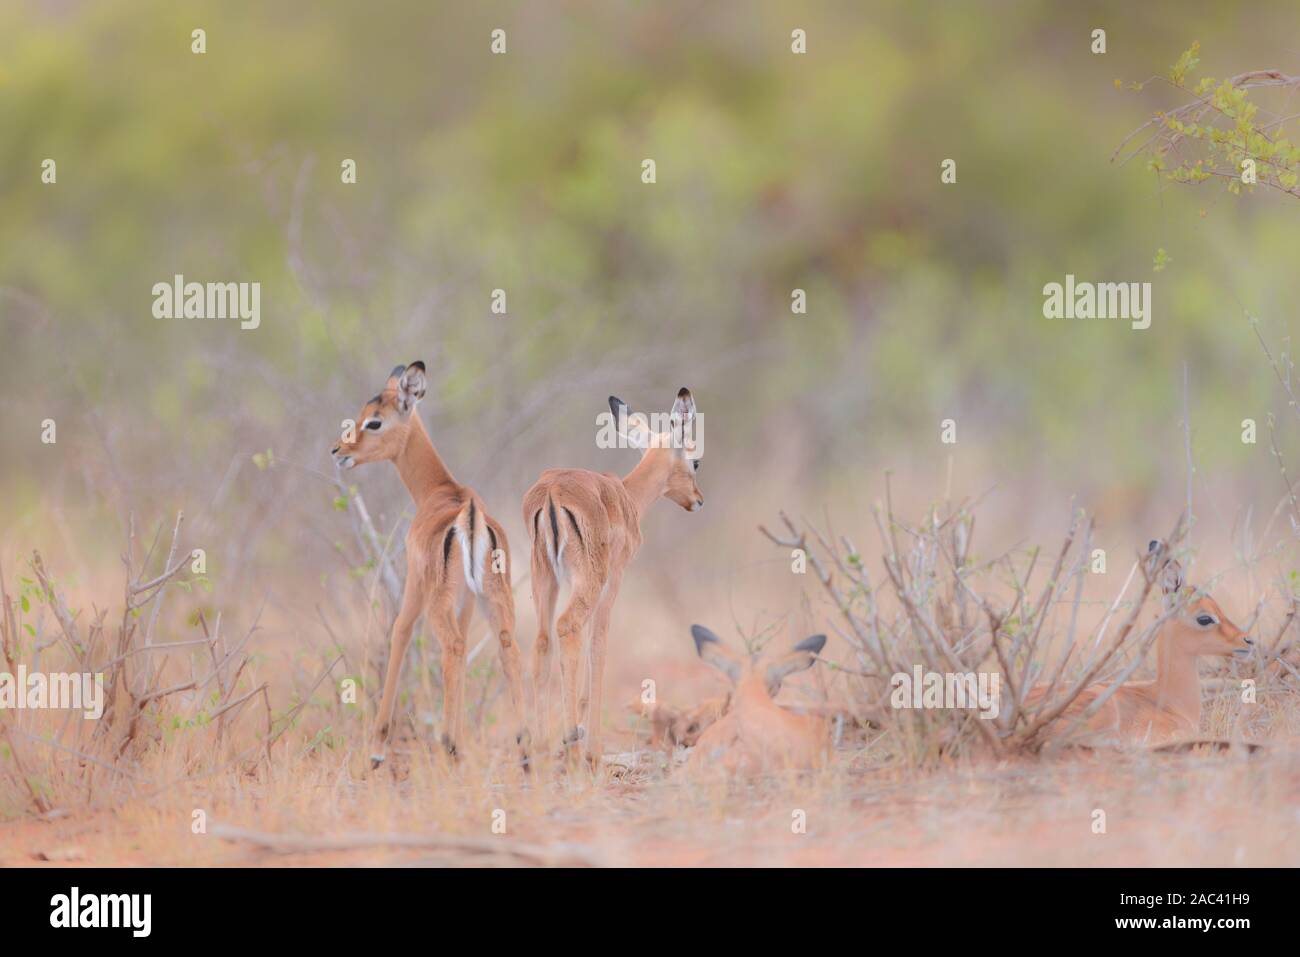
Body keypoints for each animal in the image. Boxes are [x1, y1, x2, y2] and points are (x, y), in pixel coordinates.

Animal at [331, 362, 528, 767]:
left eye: (374, 420)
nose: (339, 451)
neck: (437, 492)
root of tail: (470, 518)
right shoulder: (467, 600)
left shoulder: (415, 582)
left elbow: (400, 632)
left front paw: (377, 749)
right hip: (494, 598)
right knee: (506, 650)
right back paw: (523, 750)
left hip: (440, 600)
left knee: (450, 647)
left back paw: (447, 744)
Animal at [524, 388, 704, 763]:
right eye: (695, 461)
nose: (698, 500)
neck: (627, 497)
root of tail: (551, 493)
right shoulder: (614, 579)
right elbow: (599, 644)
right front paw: (591, 747)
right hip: (586, 582)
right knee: (568, 627)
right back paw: (572, 741)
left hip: (544, 578)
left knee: (543, 640)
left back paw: (542, 747)